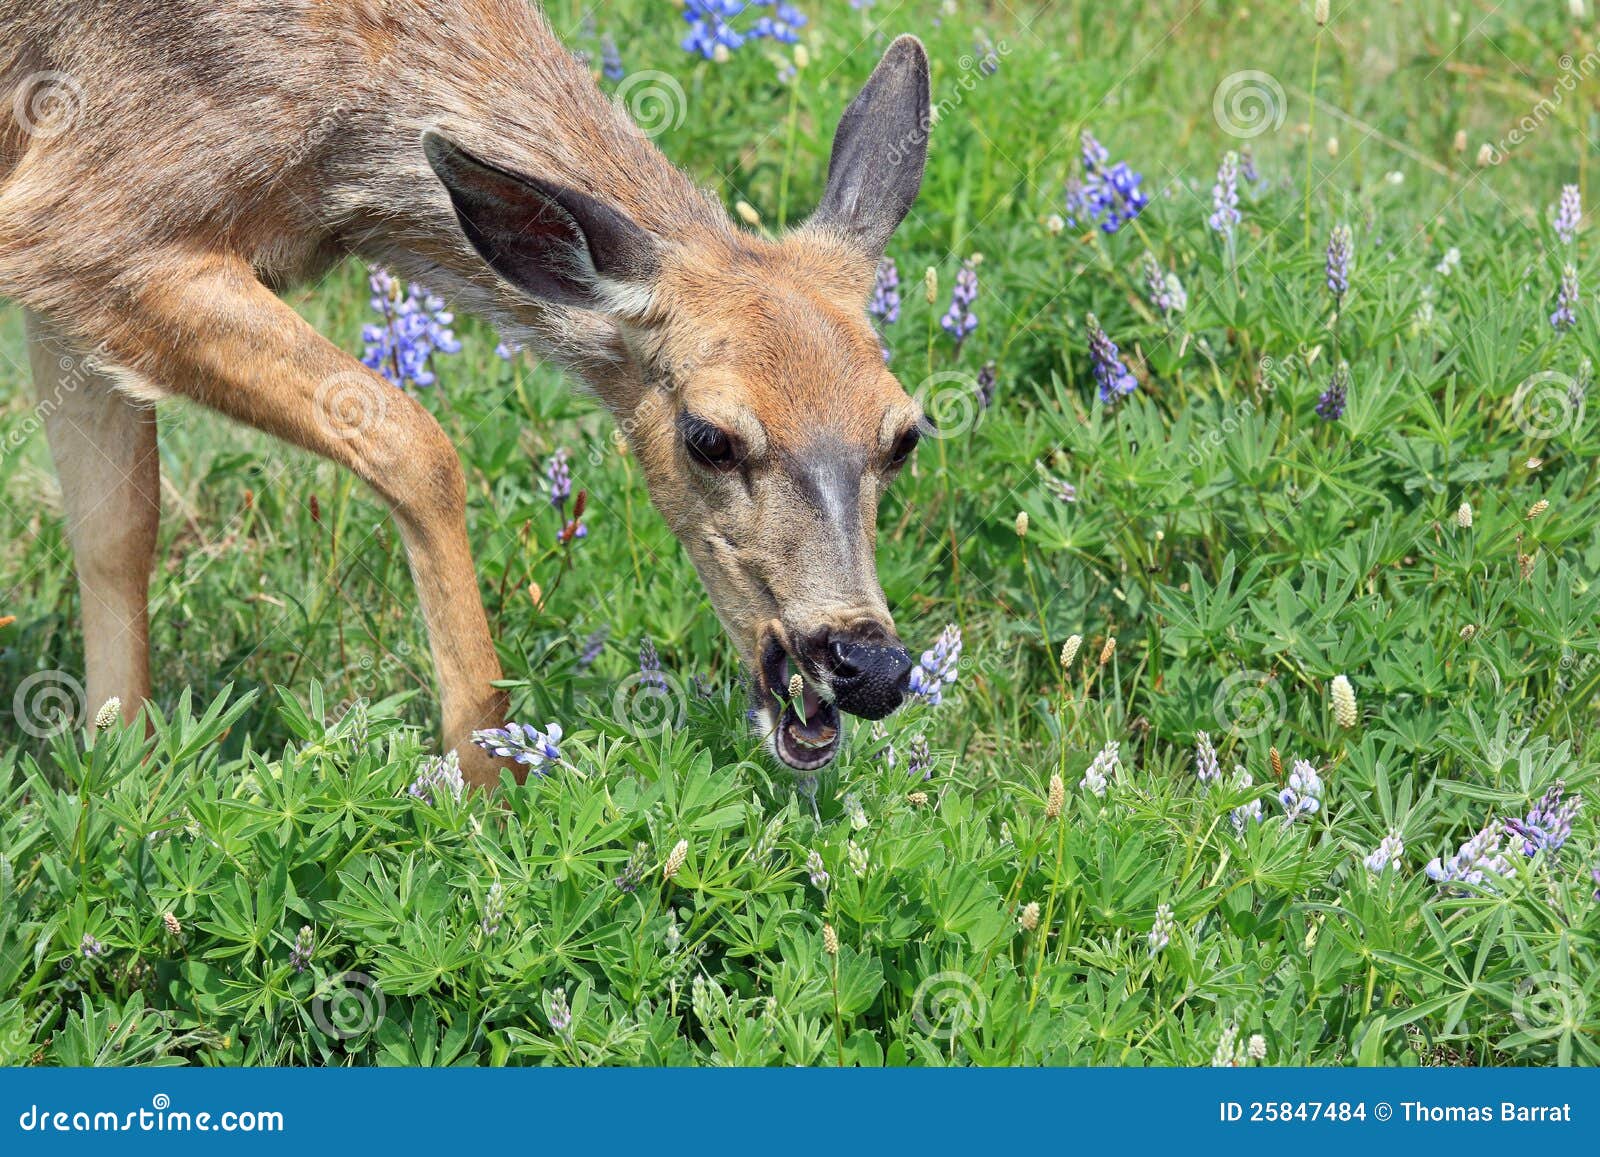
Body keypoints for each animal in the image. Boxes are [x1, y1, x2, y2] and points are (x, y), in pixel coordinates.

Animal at [0, 1, 933, 786]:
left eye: (904, 435)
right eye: (709, 436)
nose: (869, 663)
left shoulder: (71, 275)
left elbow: (116, 531)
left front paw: (119, 768)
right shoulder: (86, 221)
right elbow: (412, 439)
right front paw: (485, 770)